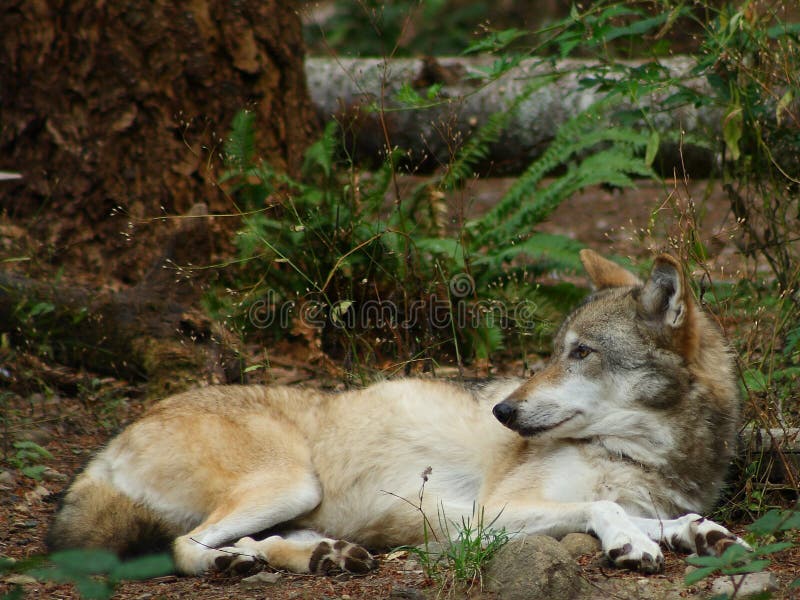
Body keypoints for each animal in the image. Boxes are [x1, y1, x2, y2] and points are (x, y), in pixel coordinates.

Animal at [49, 250, 745, 576]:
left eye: (581, 353)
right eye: (554, 352)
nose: (502, 410)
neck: (640, 453)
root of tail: (112, 441)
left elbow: (664, 516)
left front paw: (697, 532)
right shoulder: (492, 511)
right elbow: (606, 509)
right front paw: (630, 541)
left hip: (303, 506)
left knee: (259, 542)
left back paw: (324, 558)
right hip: (290, 482)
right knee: (183, 547)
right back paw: (233, 565)